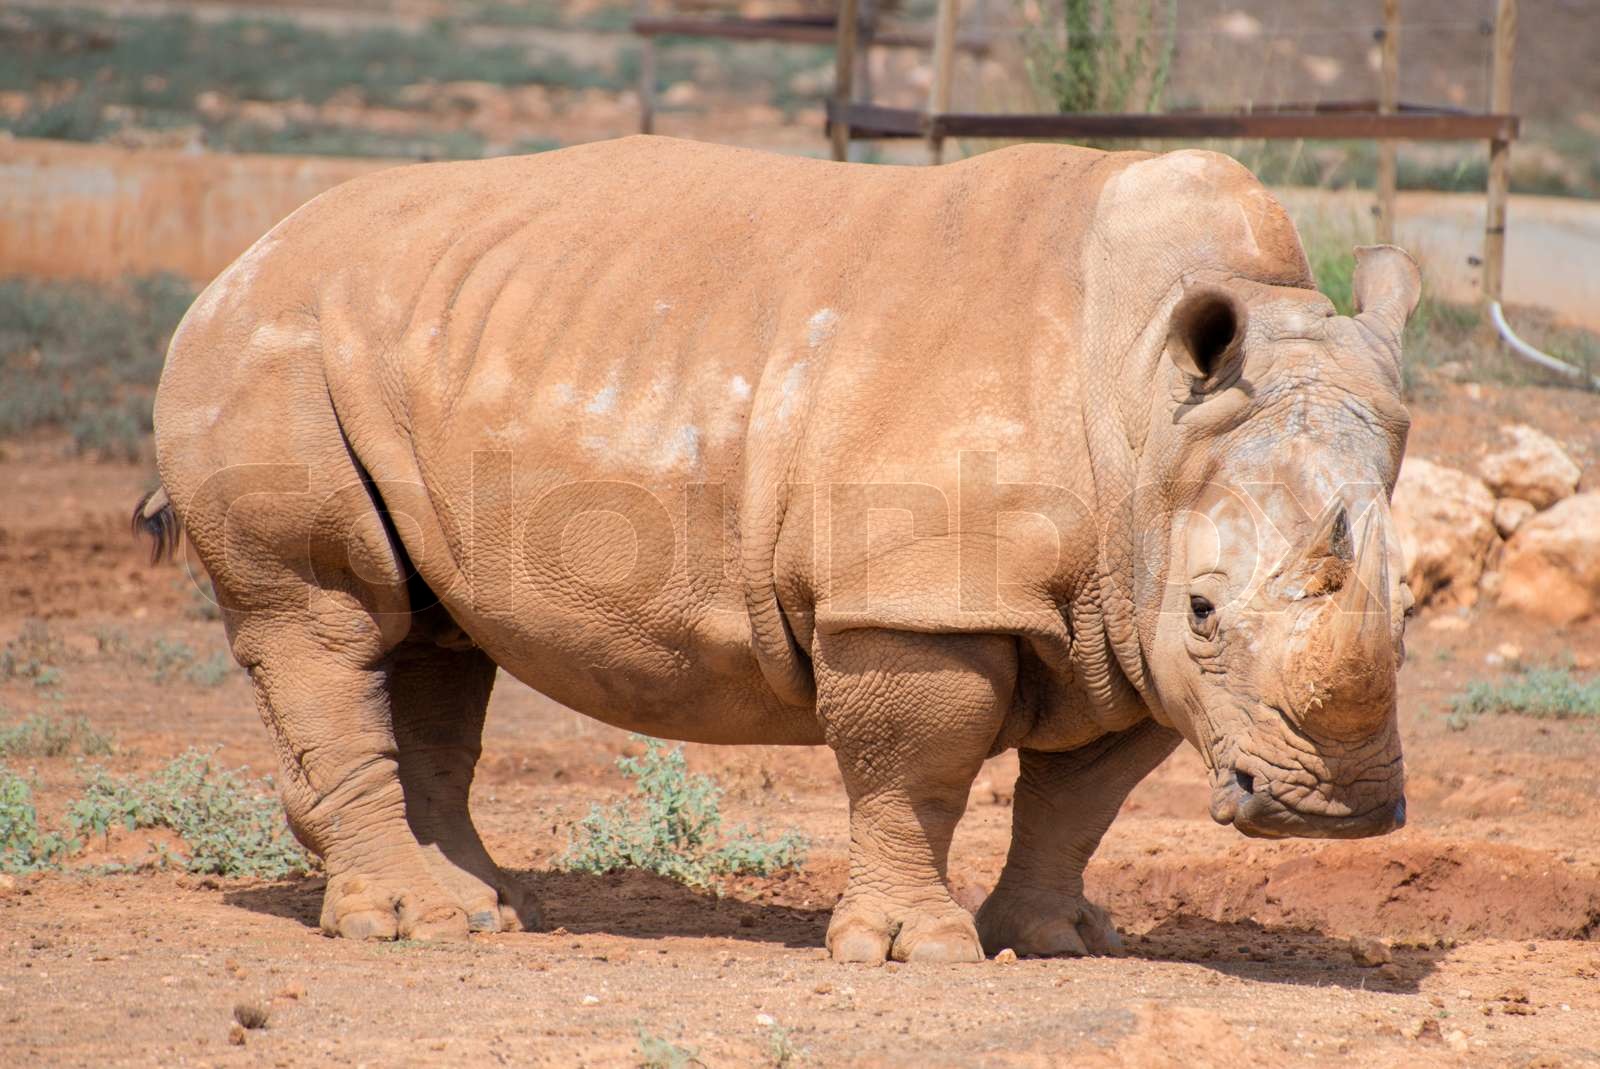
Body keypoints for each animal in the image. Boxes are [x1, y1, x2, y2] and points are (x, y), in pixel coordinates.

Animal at [138, 136, 1419, 963]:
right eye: (1204, 609)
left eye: (1408, 616)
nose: (1332, 812)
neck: (1148, 412)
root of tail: (235, 258)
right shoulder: (917, 600)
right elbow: (916, 768)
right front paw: (912, 952)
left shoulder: (1121, 607)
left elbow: (1082, 792)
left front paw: (1066, 941)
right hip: (270, 349)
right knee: (324, 618)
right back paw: (420, 927)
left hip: (407, 343)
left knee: (433, 638)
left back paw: (490, 908)